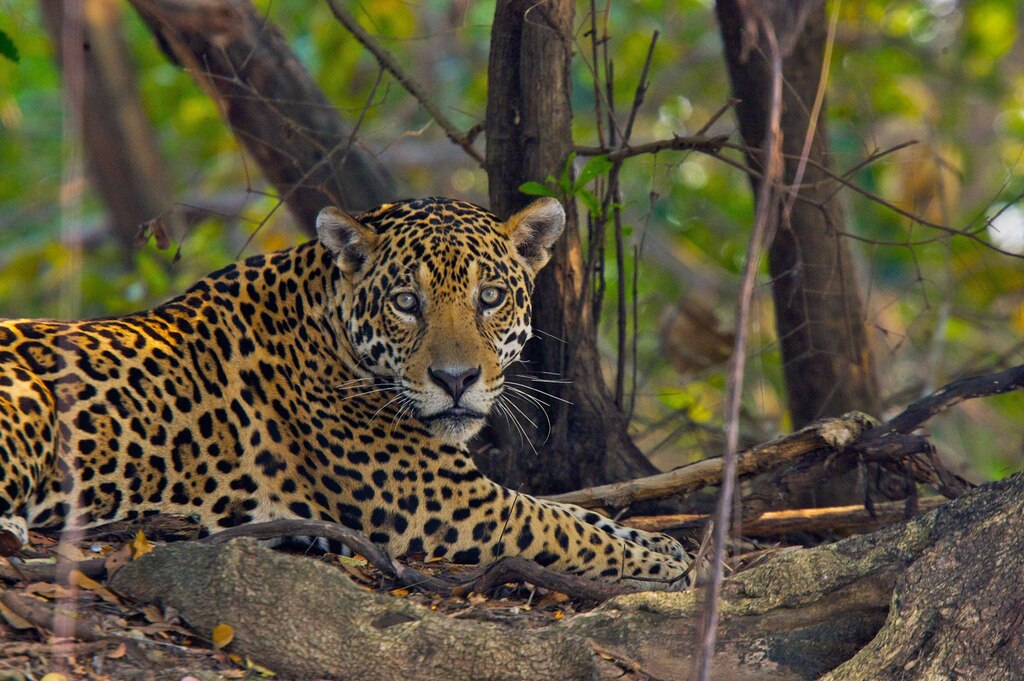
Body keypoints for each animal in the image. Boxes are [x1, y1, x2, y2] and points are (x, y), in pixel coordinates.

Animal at [0, 196, 693, 589]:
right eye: (406, 303)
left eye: (491, 297)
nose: (456, 380)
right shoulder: (444, 503)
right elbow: (560, 527)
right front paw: (664, 564)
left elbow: (577, 511)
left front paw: (660, 542)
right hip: (28, 399)